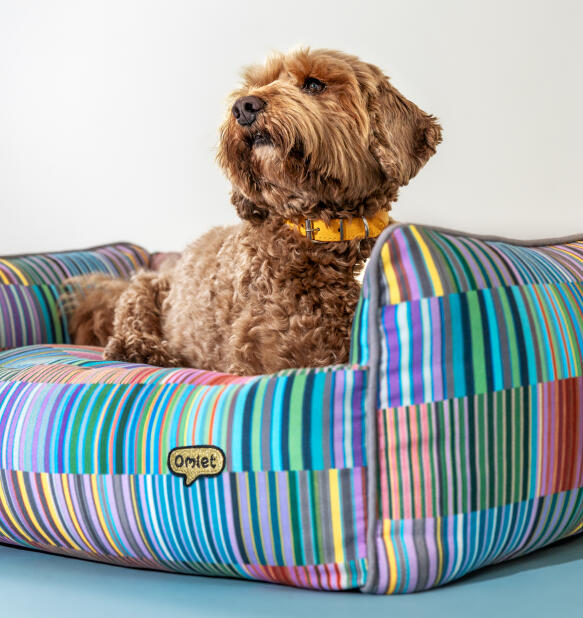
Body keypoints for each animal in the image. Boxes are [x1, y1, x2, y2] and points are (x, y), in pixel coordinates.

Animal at [67, 48, 442, 372]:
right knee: (125, 328)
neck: (320, 229)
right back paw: (145, 349)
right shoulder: (259, 359)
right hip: (145, 286)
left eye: (314, 84)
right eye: (253, 86)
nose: (244, 106)